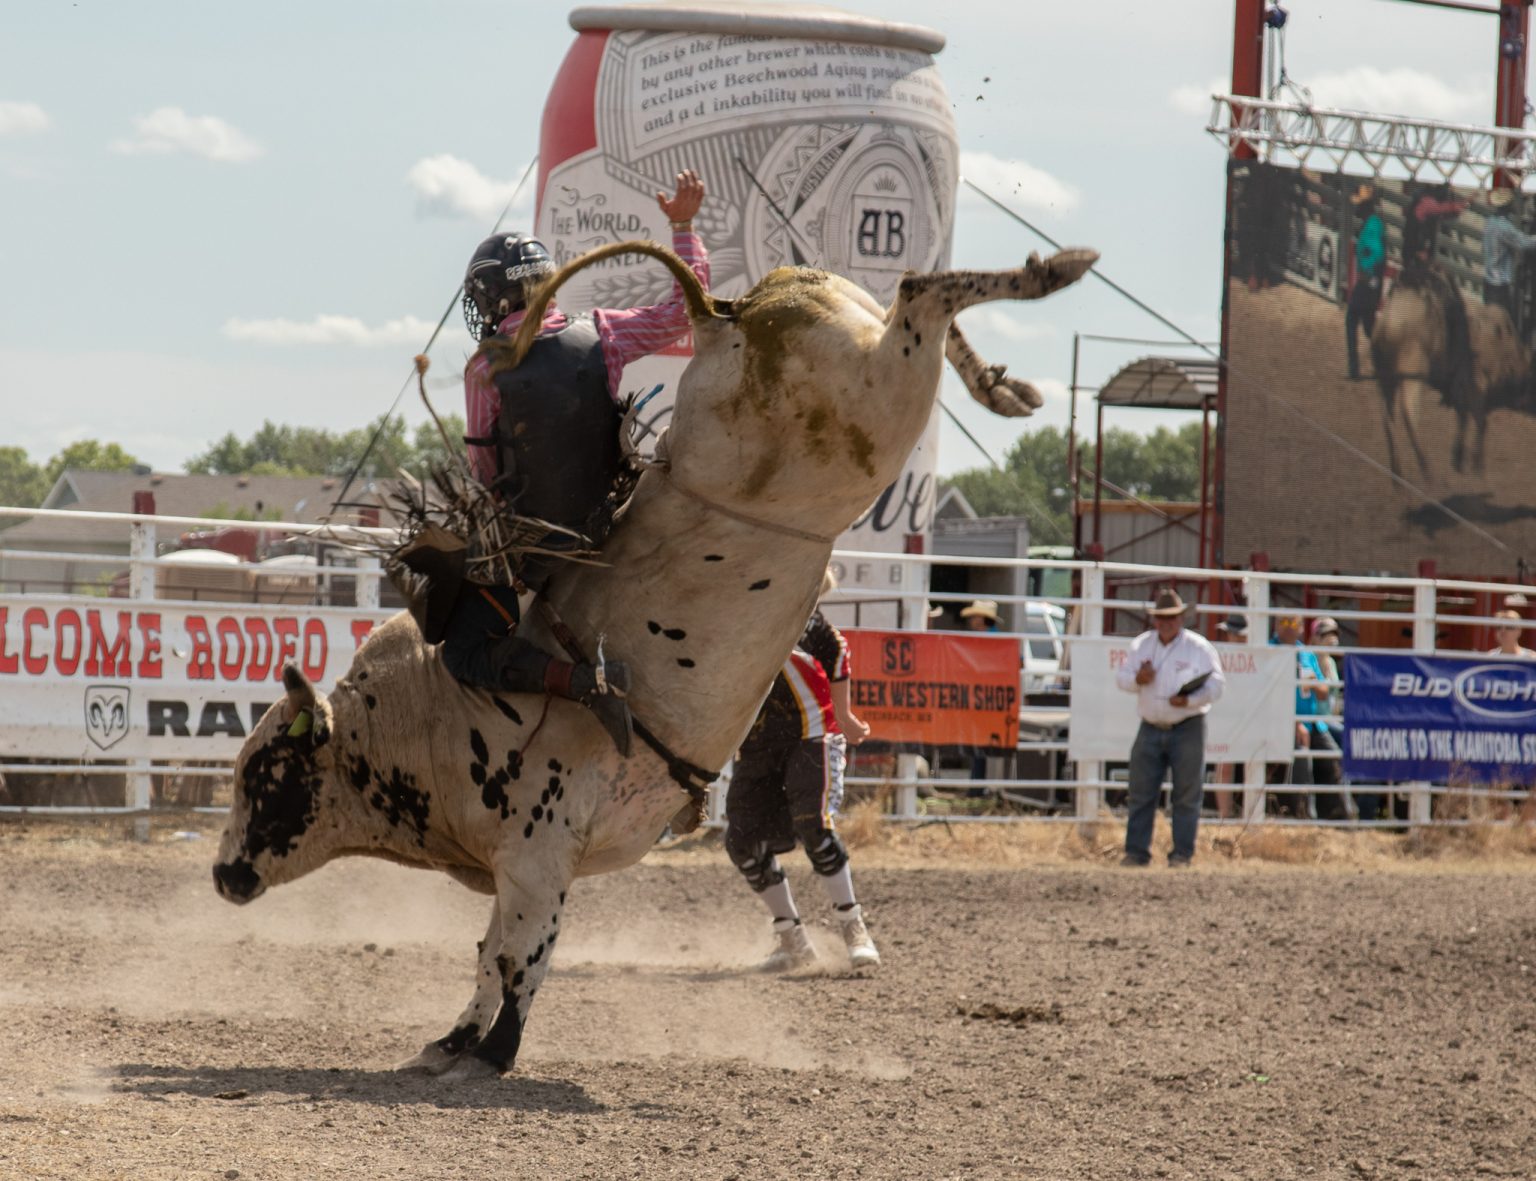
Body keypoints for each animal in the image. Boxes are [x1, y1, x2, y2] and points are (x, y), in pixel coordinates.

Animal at [214, 241, 1097, 1080]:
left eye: (265, 773)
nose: (223, 876)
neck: (423, 712)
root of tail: (722, 315)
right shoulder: (515, 863)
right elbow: (488, 956)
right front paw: (453, 1040)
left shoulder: (537, 856)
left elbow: (518, 956)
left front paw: (492, 1053)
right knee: (913, 297)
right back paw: (1008, 377)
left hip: (875, 401)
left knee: (920, 293)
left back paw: (1052, 273)